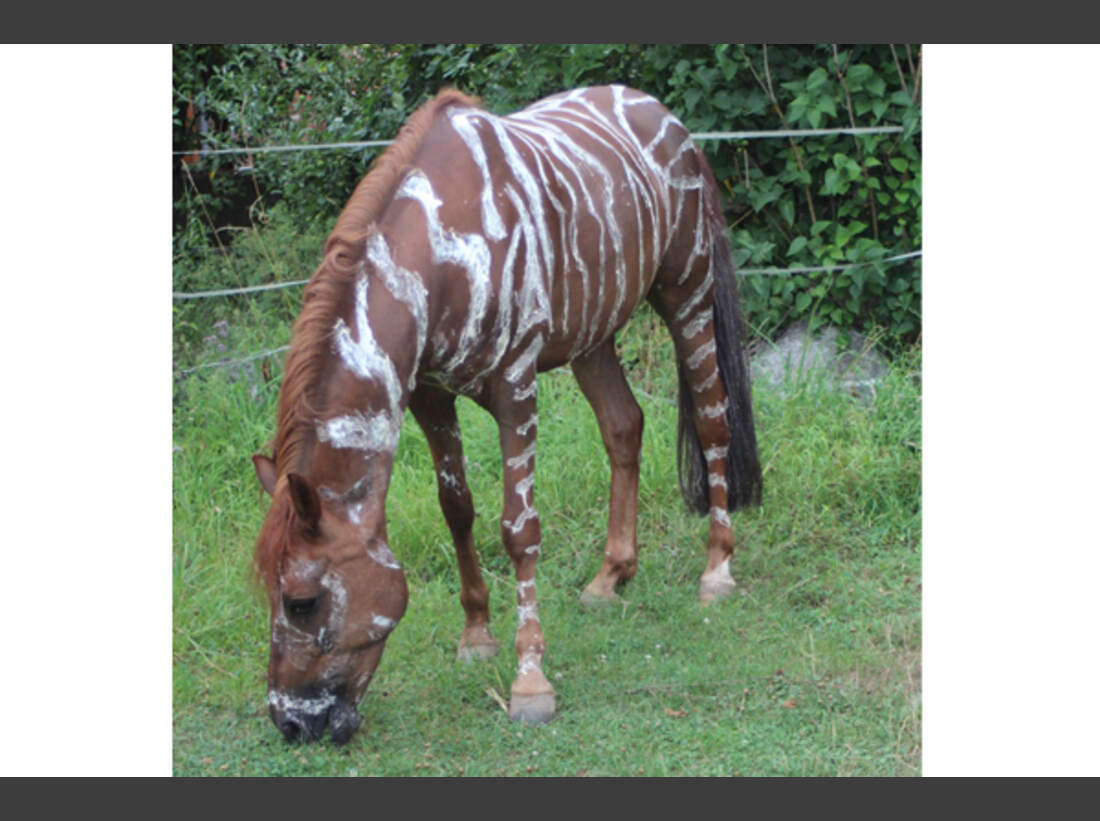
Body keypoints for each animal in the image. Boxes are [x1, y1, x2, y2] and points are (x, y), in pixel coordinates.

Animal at [251, 85, 762, 744]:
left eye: (301, 602)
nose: (291, 724)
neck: (439, 254)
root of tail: (661, 112)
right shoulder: (430, 394)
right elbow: (457, 509)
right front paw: (476, 635)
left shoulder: (515, 385)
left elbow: (519, 530)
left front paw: (530, 682)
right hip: (593, 332)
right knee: (623, 426)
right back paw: (611, 576)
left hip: (687, 293)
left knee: (710, 417)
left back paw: (716, 570)